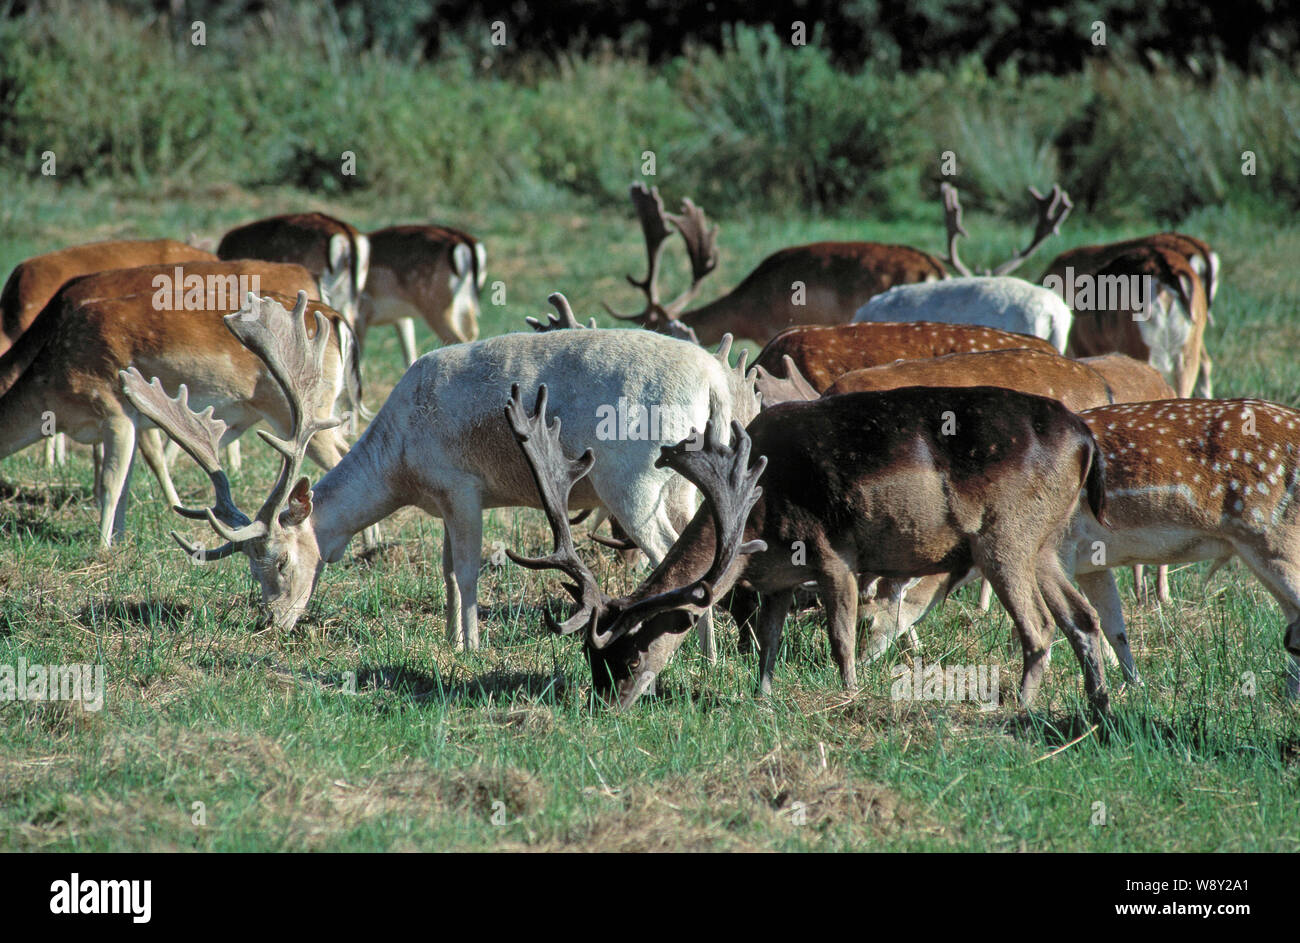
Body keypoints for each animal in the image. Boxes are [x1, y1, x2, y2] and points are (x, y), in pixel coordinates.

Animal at [0, 262, 357, 547]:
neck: (54, 387)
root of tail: (336, 318)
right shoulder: (130, 422)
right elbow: (126, 482)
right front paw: (119, 542)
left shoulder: (115, 411)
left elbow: (111, 483)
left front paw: (101, 547)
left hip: (294, 410)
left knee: (341, 455)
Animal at [124, 291, 760, 653]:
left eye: (279, 560)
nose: (272, 622)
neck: (403, 466)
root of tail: (714, 381)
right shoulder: (441, 505)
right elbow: (447, 572)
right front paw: (452, 638)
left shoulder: (462, 487)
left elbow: (471, 571)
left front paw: (471, 650)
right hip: (679, 485)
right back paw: (707, 653)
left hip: (632, 480)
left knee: (672, 552)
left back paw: (691, 655)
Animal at [361, 225, 486, 365]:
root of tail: (465, 242)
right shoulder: (401, 318)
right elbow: (409, 355)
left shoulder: (360, 312)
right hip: (464, 305)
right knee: (473, 333)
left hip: (437, 305)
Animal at [504, 381, 1112, 716]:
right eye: (590, 659)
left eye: (630, 655)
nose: (603, 706)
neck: (757, 517)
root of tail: (1086, 439)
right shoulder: (777, 581)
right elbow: (768, 644)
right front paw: (763, 699)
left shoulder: (835, 556)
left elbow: (841, 640)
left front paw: (850, 698)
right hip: (1045, 543)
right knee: (1083, 618)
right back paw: (1100, 703)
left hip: (1005, 538)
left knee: (1040, 627)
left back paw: (1021, 707)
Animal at [860, 398, 1300, 700]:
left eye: (865, 621)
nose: (858, 668)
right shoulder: (1091, 563)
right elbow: (1115, 626)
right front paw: (1134, 687)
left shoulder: (1052, 550)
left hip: (1271, 536)